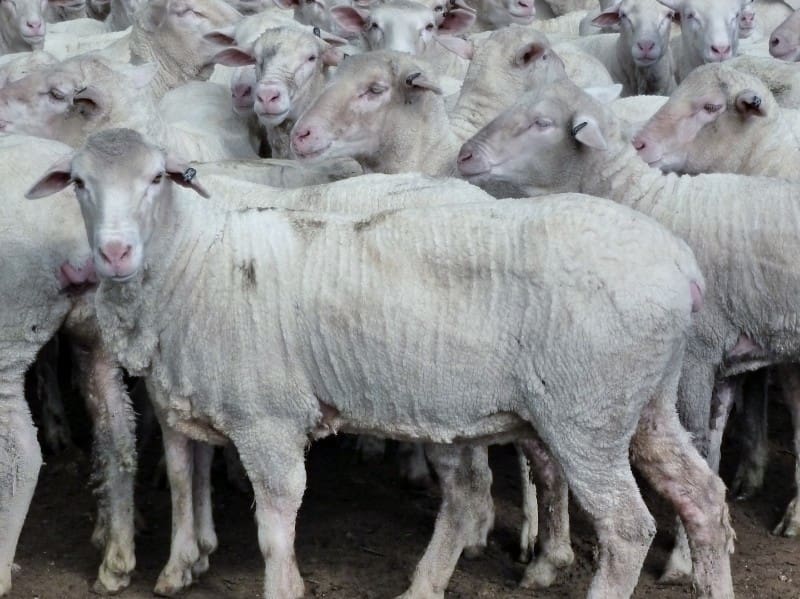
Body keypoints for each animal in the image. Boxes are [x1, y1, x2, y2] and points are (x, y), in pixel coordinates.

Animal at [27, 126, 733, 599]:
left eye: (156, 179)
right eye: (80, 184)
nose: (115, 253)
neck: (196, 258)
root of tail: (681, 264)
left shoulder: (266, 420)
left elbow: (274, 530)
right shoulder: (192, 399)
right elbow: (183, 476)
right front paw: (182, 564)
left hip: (587, 411)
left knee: (626, 529)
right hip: (642, 402)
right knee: (703, 498)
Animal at [457, 76, 800, 587]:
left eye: (541, 122)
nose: (464, 155)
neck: (646, 199)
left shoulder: (697, 355)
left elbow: (701, 448)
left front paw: (681, 560)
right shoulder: (717, 359)